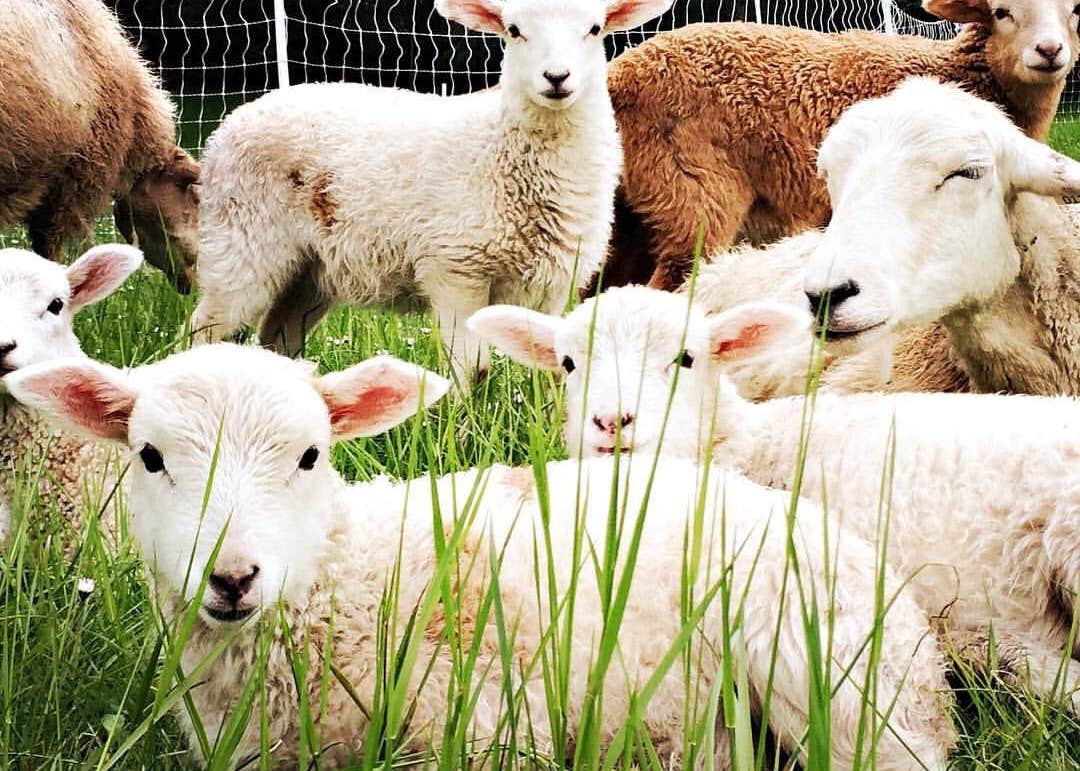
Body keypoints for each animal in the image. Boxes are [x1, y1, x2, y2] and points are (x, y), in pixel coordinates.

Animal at [6, 343, 956, 769]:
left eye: (311, 455)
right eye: (149, 457)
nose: (233, 576)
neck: (349, 582)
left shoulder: (494, 720)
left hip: (839, 684)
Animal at [190, 0, 673, 384]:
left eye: (594, 28)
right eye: (514, 30)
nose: (557, 77)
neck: (498, 146)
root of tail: (235, 119)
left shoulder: (556, 279)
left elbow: (552, 360)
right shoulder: (456, 267)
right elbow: (473, 368)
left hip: (310, 270)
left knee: (277, 335)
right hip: (242, 244)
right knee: (209, 328)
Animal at [600, 0, 1080, 291]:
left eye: (1074, 10)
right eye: (1001, 11)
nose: (1049, 50)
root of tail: (618, 74)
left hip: (630, 210)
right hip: (691, 191)